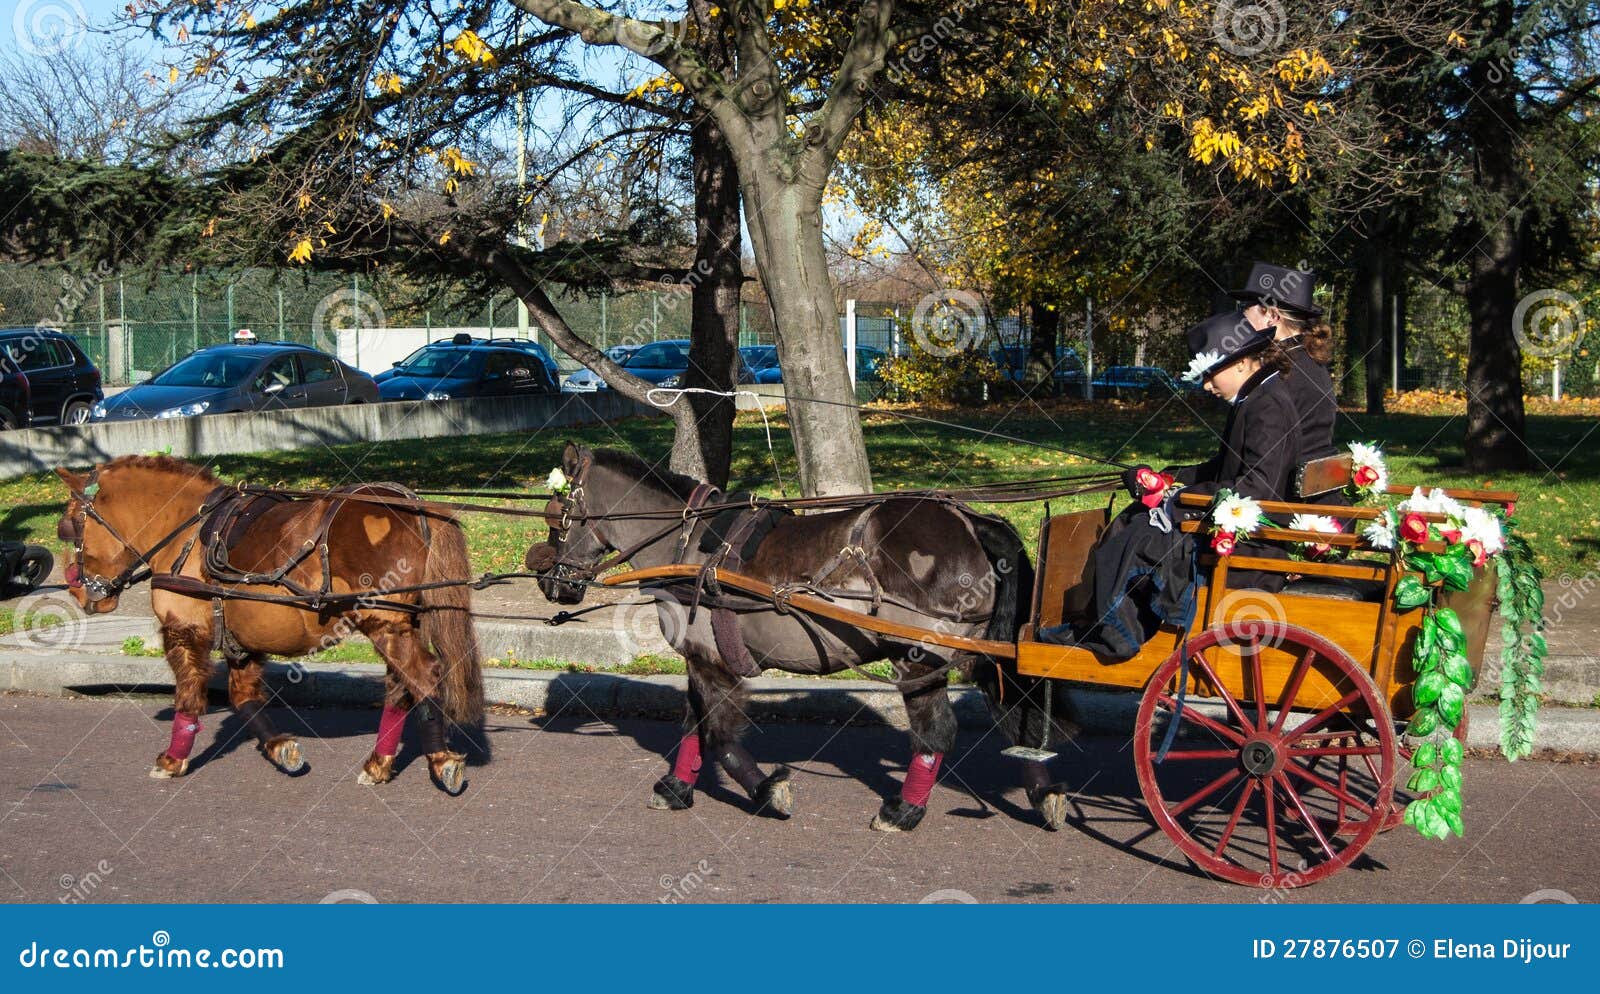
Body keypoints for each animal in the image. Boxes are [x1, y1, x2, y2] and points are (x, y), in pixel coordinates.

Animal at [54, 455, 483, 794]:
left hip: (384, 621)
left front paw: (172, 760)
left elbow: (189, 696)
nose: (76, 589)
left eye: (71, 525)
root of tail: (414, 504)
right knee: (401, 686)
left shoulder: (184, 630)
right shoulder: (242, 640)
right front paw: (279, 747)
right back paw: (379, 763)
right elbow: (243, 696)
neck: (185, 530)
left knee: (424, 676)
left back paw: (440, 759)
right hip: (398, 623)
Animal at [529, 443, 1074, 831]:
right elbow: (692, 727)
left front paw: (766, 789)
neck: (685, 542)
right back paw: (1044, 793)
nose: (550, 583)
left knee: (936, 732)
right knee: (1021, 718)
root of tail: (972, 520)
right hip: (982, 653)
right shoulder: (700, 658)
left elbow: (718, 734)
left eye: (556, 517)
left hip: (919, 657)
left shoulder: (710, 659)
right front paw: (676, 787)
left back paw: (903, 811)